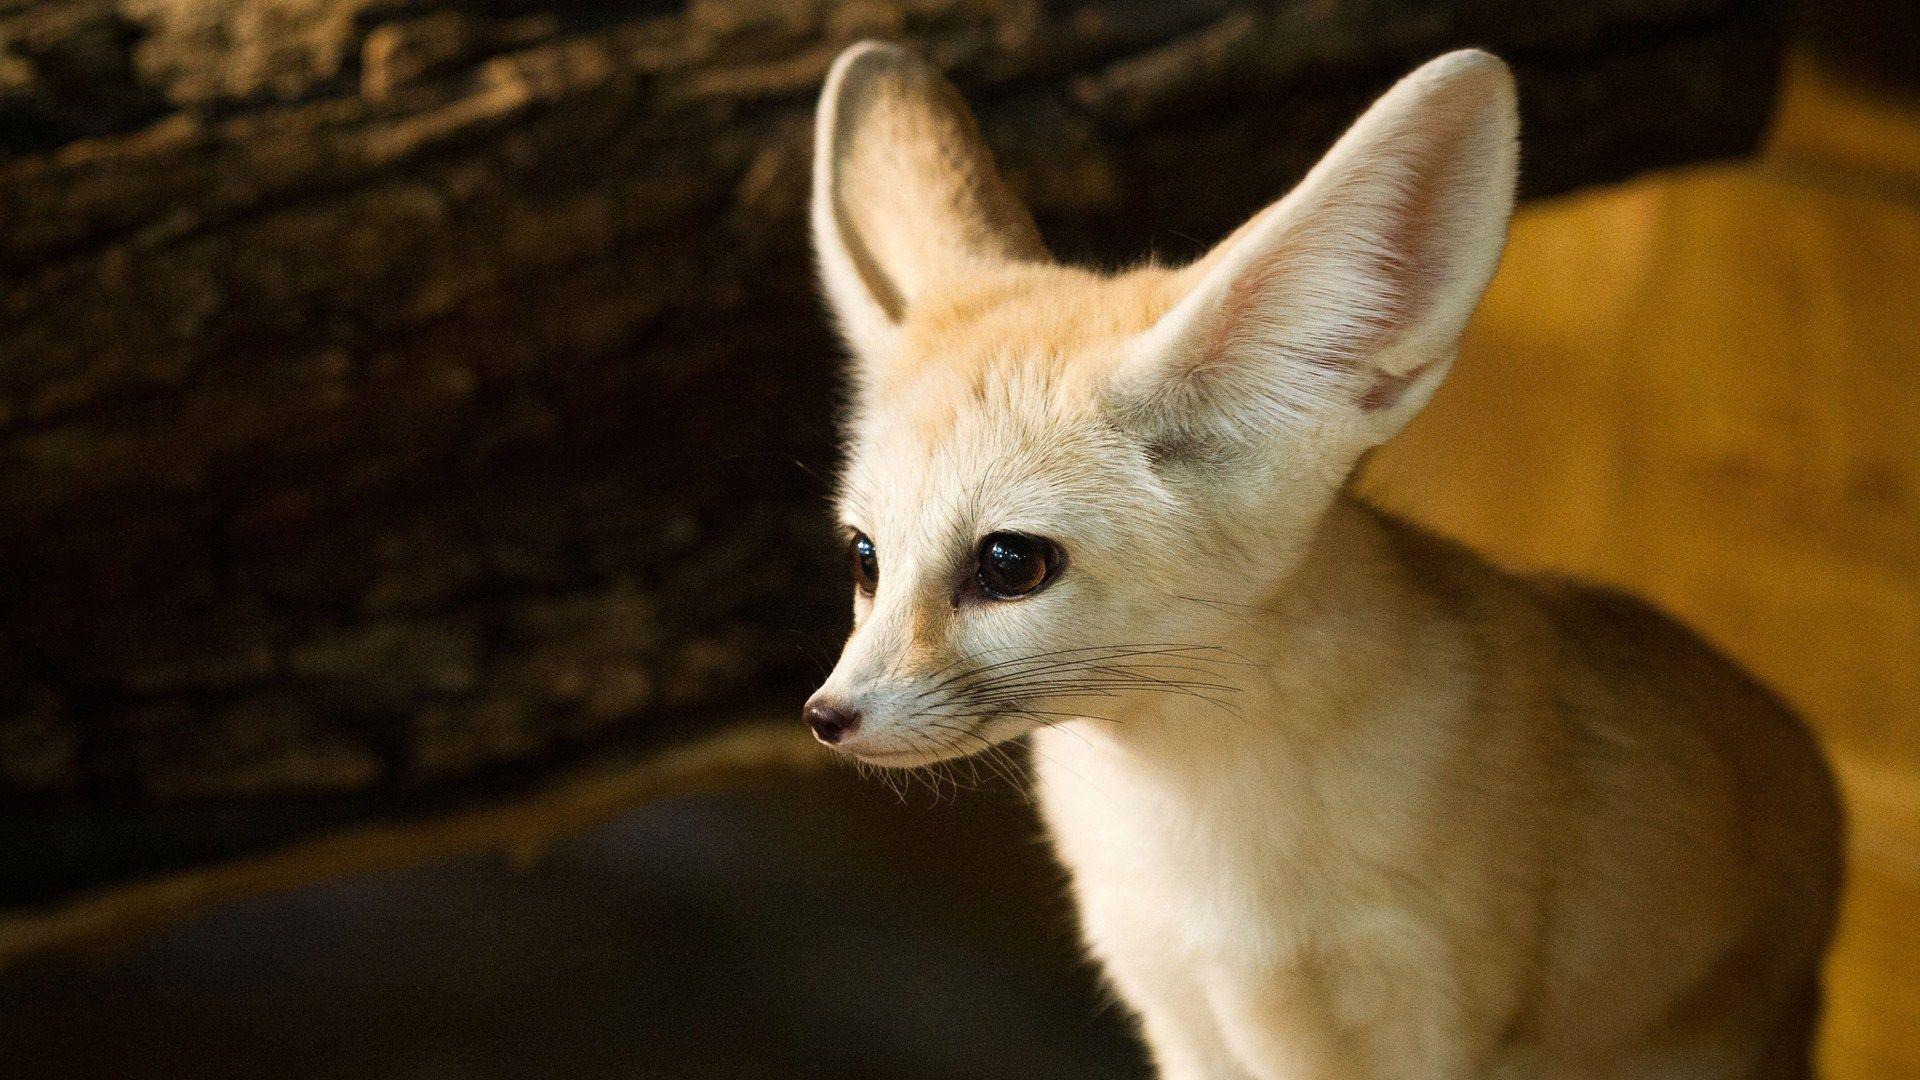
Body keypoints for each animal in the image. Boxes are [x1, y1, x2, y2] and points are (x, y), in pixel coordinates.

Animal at [799, 41, 1844, 1080]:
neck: (1204, 839)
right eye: (864, 556)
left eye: (1010, 564)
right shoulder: (1175, 1007)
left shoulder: (1429, 1017)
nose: (825, 717)